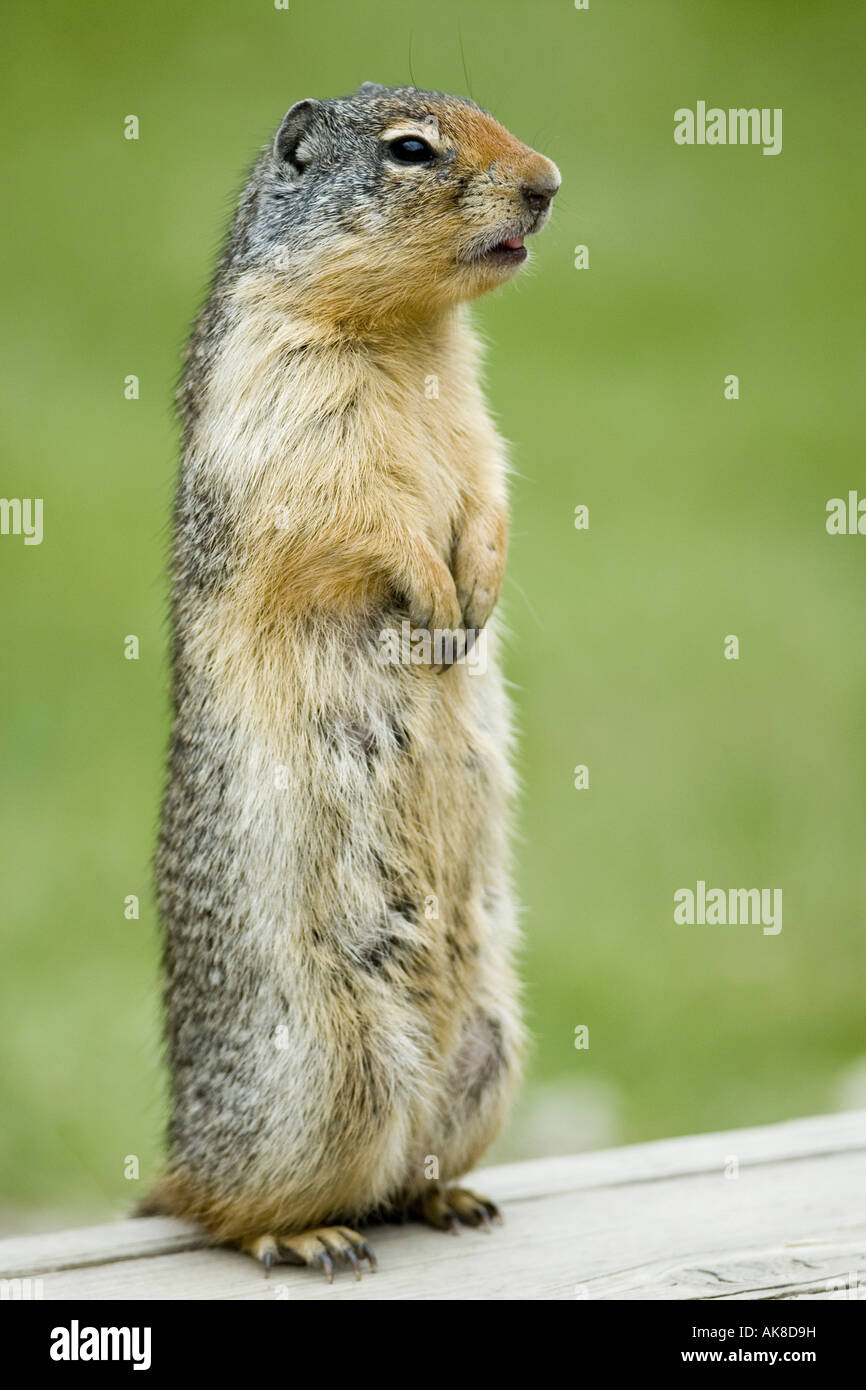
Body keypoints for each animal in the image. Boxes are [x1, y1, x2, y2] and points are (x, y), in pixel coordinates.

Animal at [144, 82, 559, 1280]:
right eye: (410, 150)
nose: (549, 182)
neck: (410, 332)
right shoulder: (286, 408)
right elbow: (355, 513)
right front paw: (431, 599)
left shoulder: (474, 421)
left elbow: (488, 486)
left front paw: (477, 591)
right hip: (324, 1074)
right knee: (230, 1213)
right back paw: (306, 1235)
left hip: (487, 1053)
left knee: (403, 1174)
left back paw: (448, 1198)